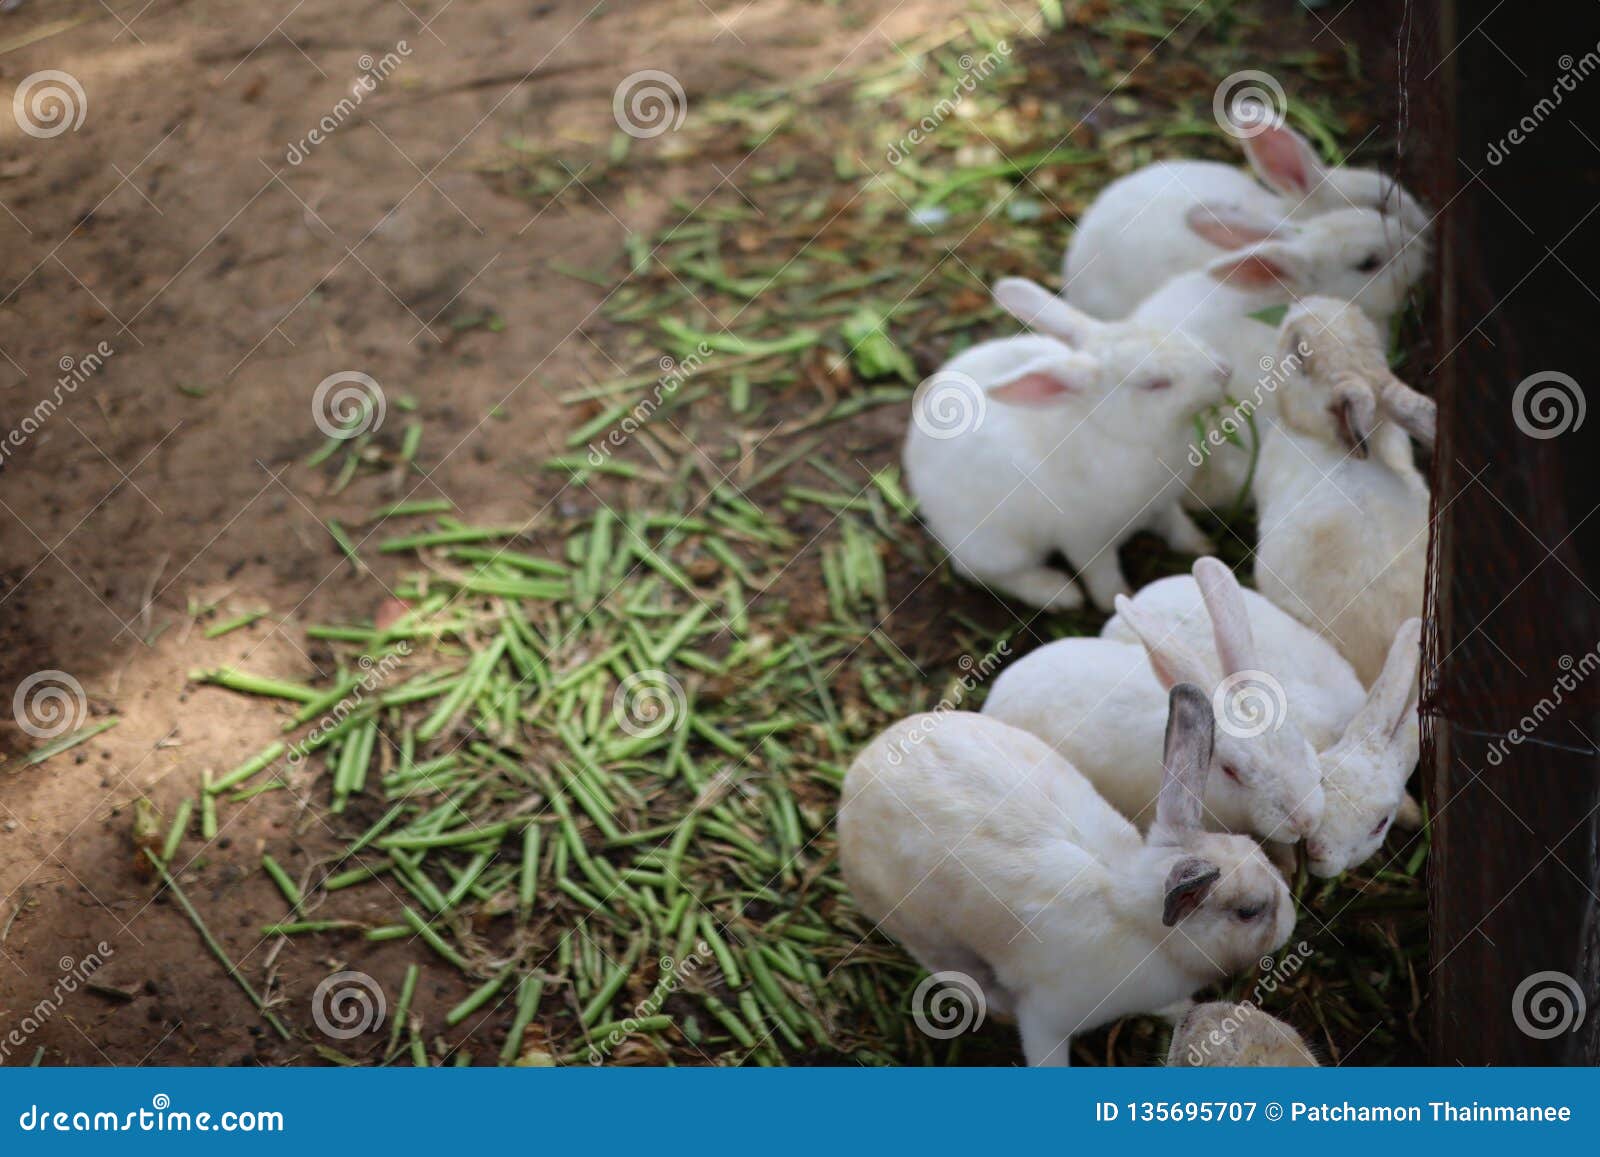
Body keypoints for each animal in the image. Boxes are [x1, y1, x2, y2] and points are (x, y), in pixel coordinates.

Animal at [838, 685, 1294, 1066]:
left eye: (1258, 851)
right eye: (1249, 911)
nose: (1290, 922)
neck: (1149, 933)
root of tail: (857, 774)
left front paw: (1181, 1011)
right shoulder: (1045, 1020)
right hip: (926, 933)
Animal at [902, 282, 1231, 612]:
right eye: (1155, 384)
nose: (1223, 371)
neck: (1119, 434)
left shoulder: (1164, 504)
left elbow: (1178, 525)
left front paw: (1202, 545)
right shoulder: (1086, 539)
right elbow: (1102, 573)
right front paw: (1116, 602)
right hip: (998, 546)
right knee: (982, 573)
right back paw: (1059, 594)